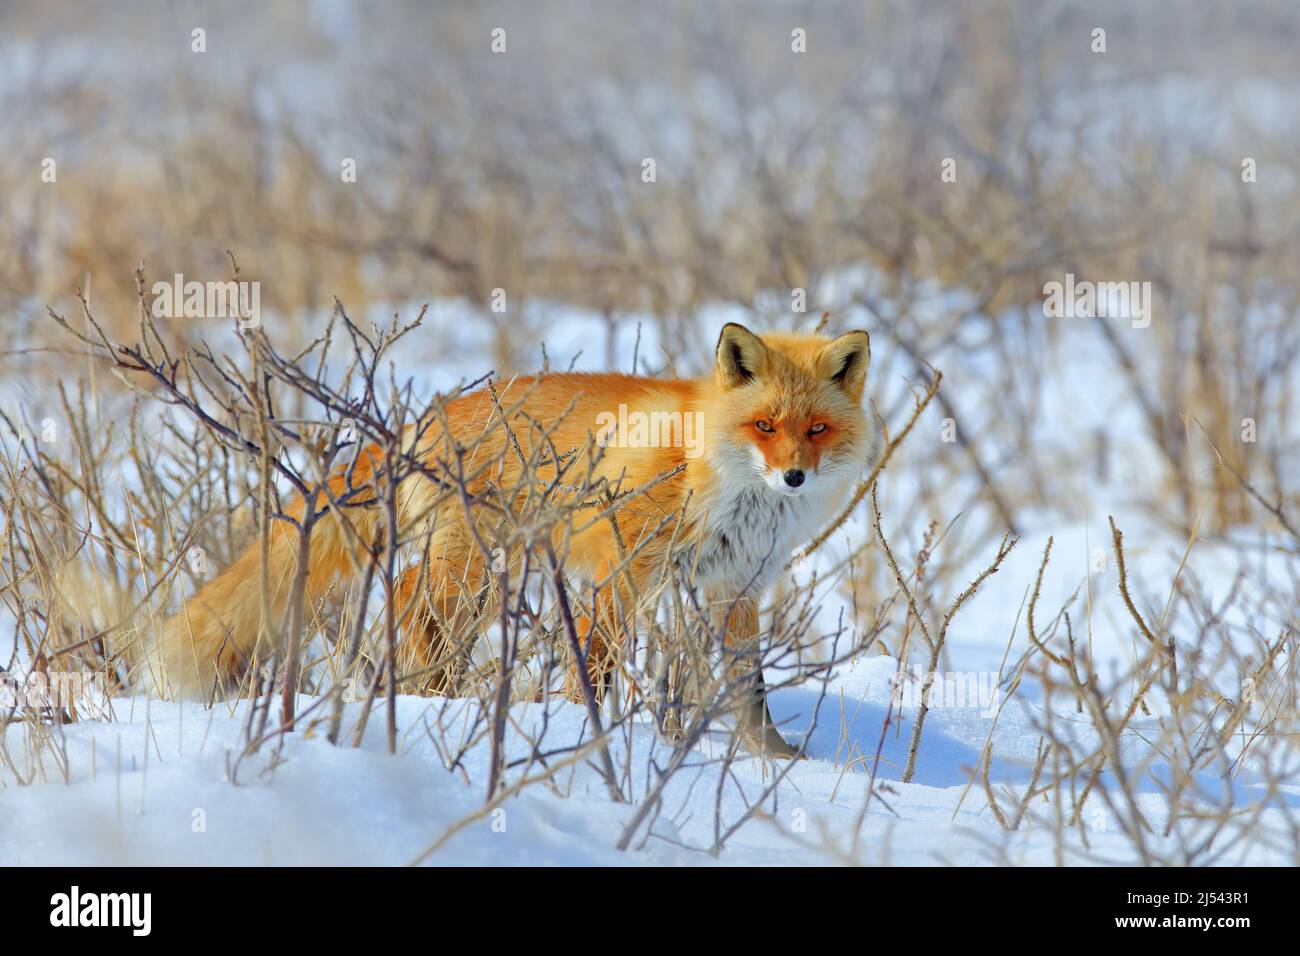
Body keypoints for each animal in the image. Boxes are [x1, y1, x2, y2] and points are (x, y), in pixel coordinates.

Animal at [151, 322, 880, 757]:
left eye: (816, 430)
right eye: (764, 425)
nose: (792, 476)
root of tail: (432, 414)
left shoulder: (736, 588)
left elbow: (750, 691)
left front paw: (774, 761)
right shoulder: (624, 569)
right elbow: (599, 658)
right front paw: (582, 730)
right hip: (468, 566)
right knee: (406, 598)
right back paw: (426, 696)